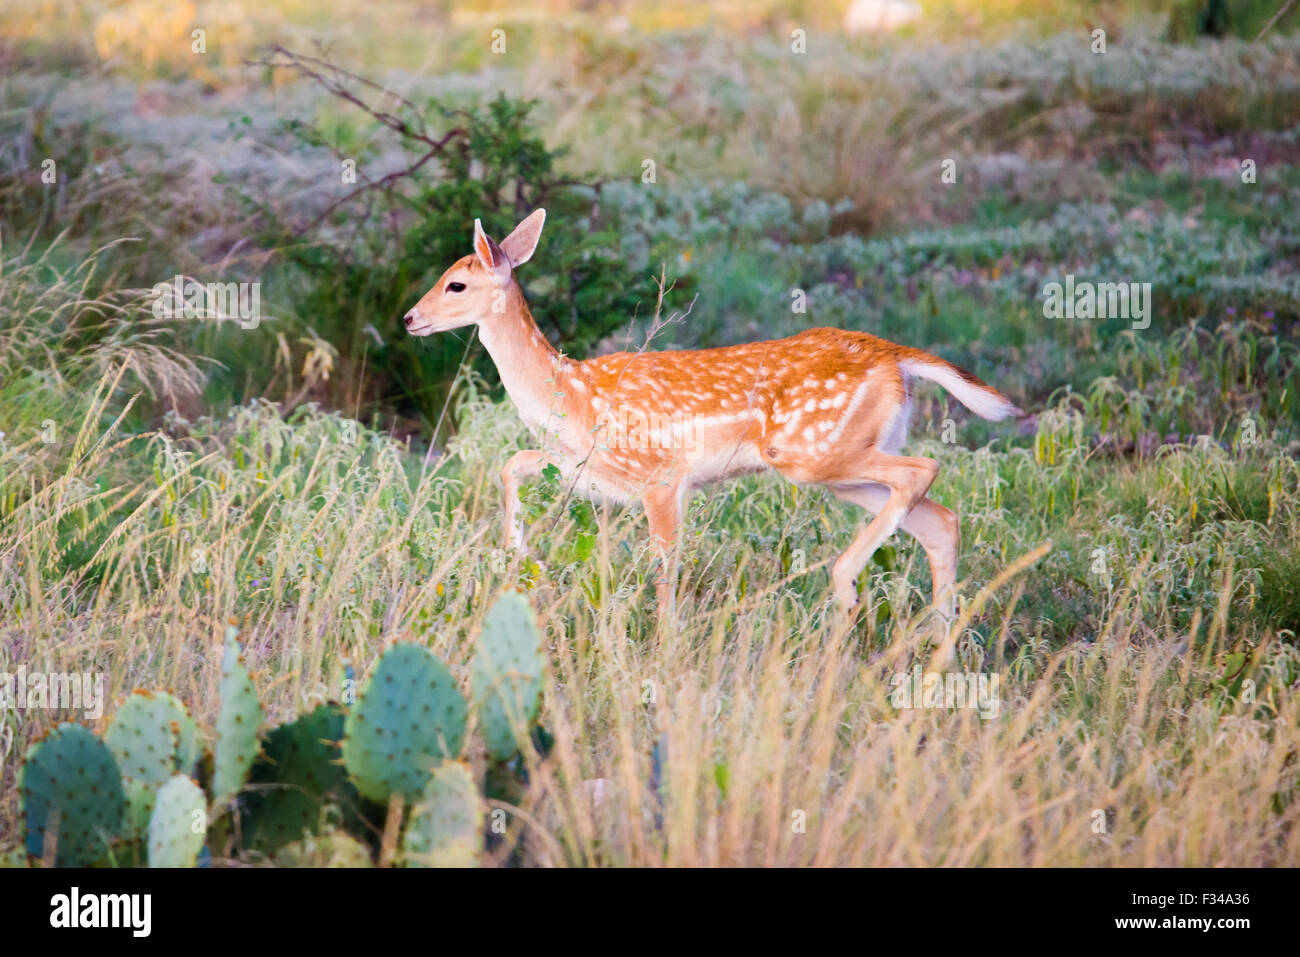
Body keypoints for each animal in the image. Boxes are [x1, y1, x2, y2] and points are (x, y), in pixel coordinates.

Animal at [403, 209, 1022, 624]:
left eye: (456, 283)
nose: (409, 318)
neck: (572, 395)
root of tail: (895, 356)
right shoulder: (587, 470)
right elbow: (512, 464)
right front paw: (518, 555)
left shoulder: (660, 475)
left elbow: (665, 573)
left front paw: (665, 650)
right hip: (845, 467)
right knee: (940, 520)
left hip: (813, 452)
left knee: (923, 473)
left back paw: (845, 584)